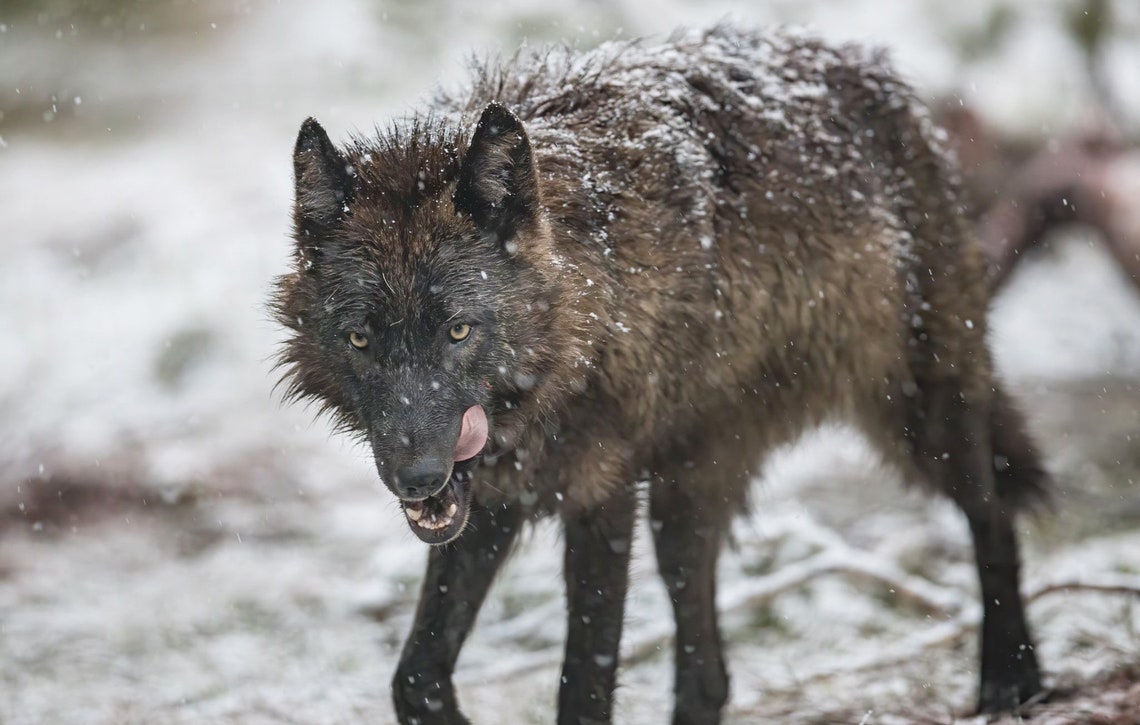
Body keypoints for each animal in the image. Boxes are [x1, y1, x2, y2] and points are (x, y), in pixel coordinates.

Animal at [273, 26, 1047, 725]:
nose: (416, 478)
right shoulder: (491, 499)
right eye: (360, 338)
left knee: (992, 515)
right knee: (708, 674)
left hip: (922, 414)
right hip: (687, 493)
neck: (586, 313)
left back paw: (1013, 680)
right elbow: (416, 679)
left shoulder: (601, 496)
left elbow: (583, 687)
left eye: (458, 330)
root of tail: (883, 75)